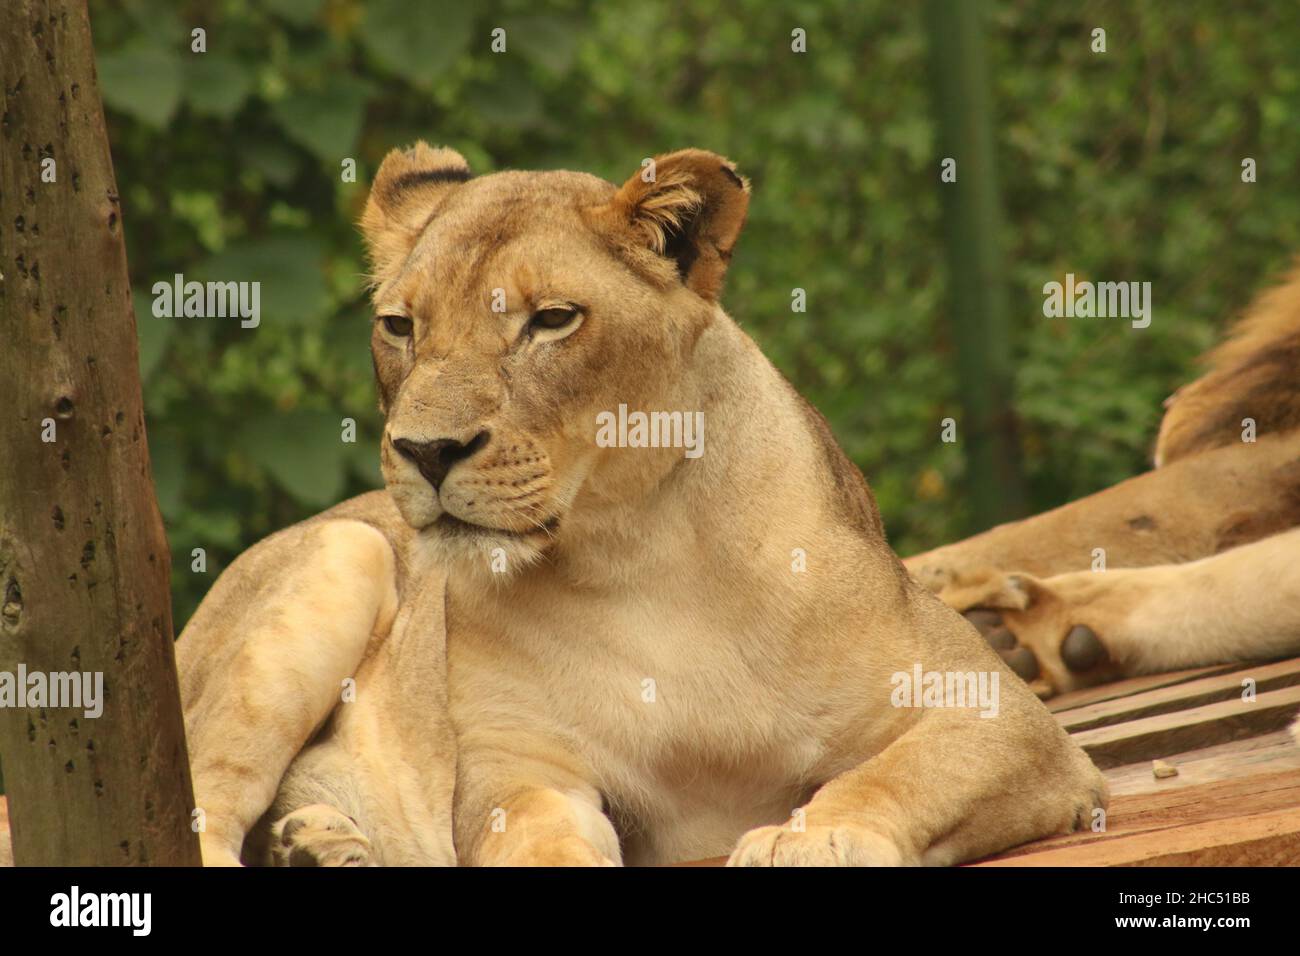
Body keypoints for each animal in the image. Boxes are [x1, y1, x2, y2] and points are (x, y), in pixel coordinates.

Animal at [178, 143, 1105, 867]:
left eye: (553, 320)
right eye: (400, 326)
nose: (428, 451)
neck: (631, 555)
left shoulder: (997, 713)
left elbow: (890, 775)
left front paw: (810, 837)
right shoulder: (520, 771)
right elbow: (539, 842)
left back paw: (320, 843)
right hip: (345, 552)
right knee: (207, 809)